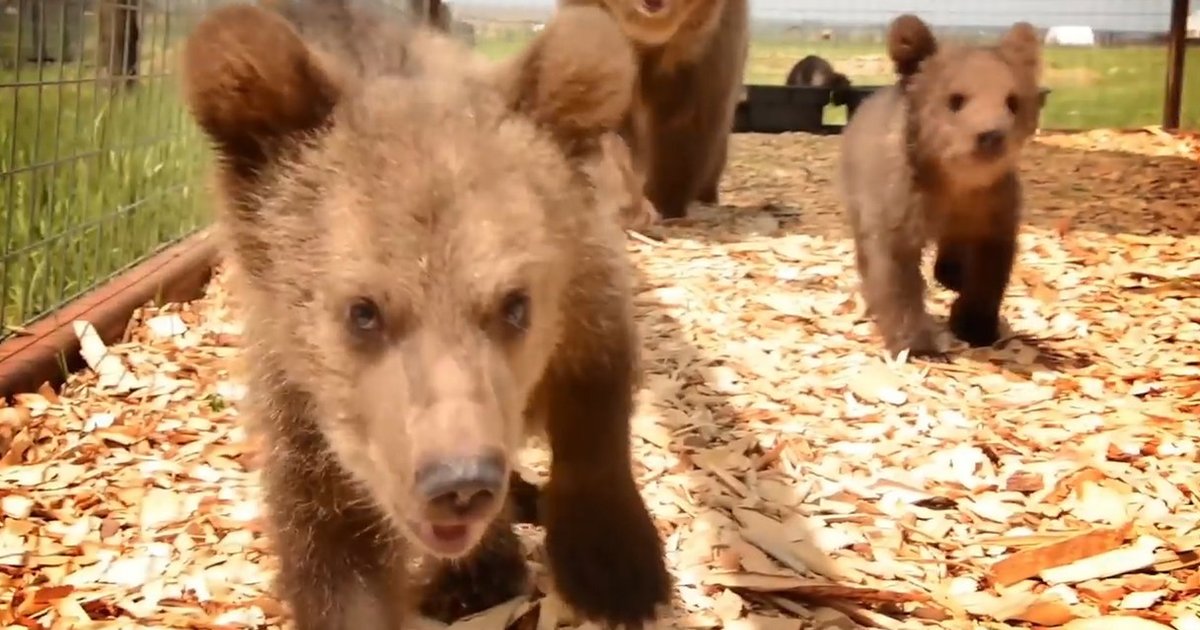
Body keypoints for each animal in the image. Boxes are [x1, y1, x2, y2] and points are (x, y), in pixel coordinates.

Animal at [179, 1, 672, 628]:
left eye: (516, 303)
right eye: (363, 311)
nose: (459, 482)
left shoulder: (585, 291)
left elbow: (596, 400)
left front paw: (617, 573)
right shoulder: (312, 405)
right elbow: (333, 544)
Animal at [838, 14, 1042, 360]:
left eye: (1013, 101)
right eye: (955, 99)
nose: (991, 135)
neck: (954, 187)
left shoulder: (993, 215)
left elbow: (988, 278)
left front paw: (976, 327)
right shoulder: (895, 214)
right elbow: (898, 280)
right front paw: (917, 343)